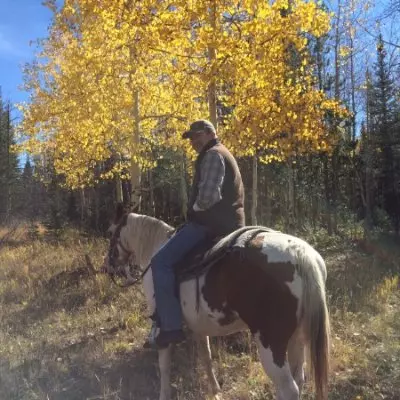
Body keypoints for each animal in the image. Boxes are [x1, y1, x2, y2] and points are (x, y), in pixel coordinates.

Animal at [104, 211, 332, 398]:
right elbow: (206, 356)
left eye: (111, 233)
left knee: (288, 388)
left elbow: (165, 364)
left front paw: (164, 394)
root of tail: (301, 255)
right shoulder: (198, 326)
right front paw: (215, 390)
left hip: (271, 344)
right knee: (298, 378)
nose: (108, 266)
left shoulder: (162, 326)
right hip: (297, 338)